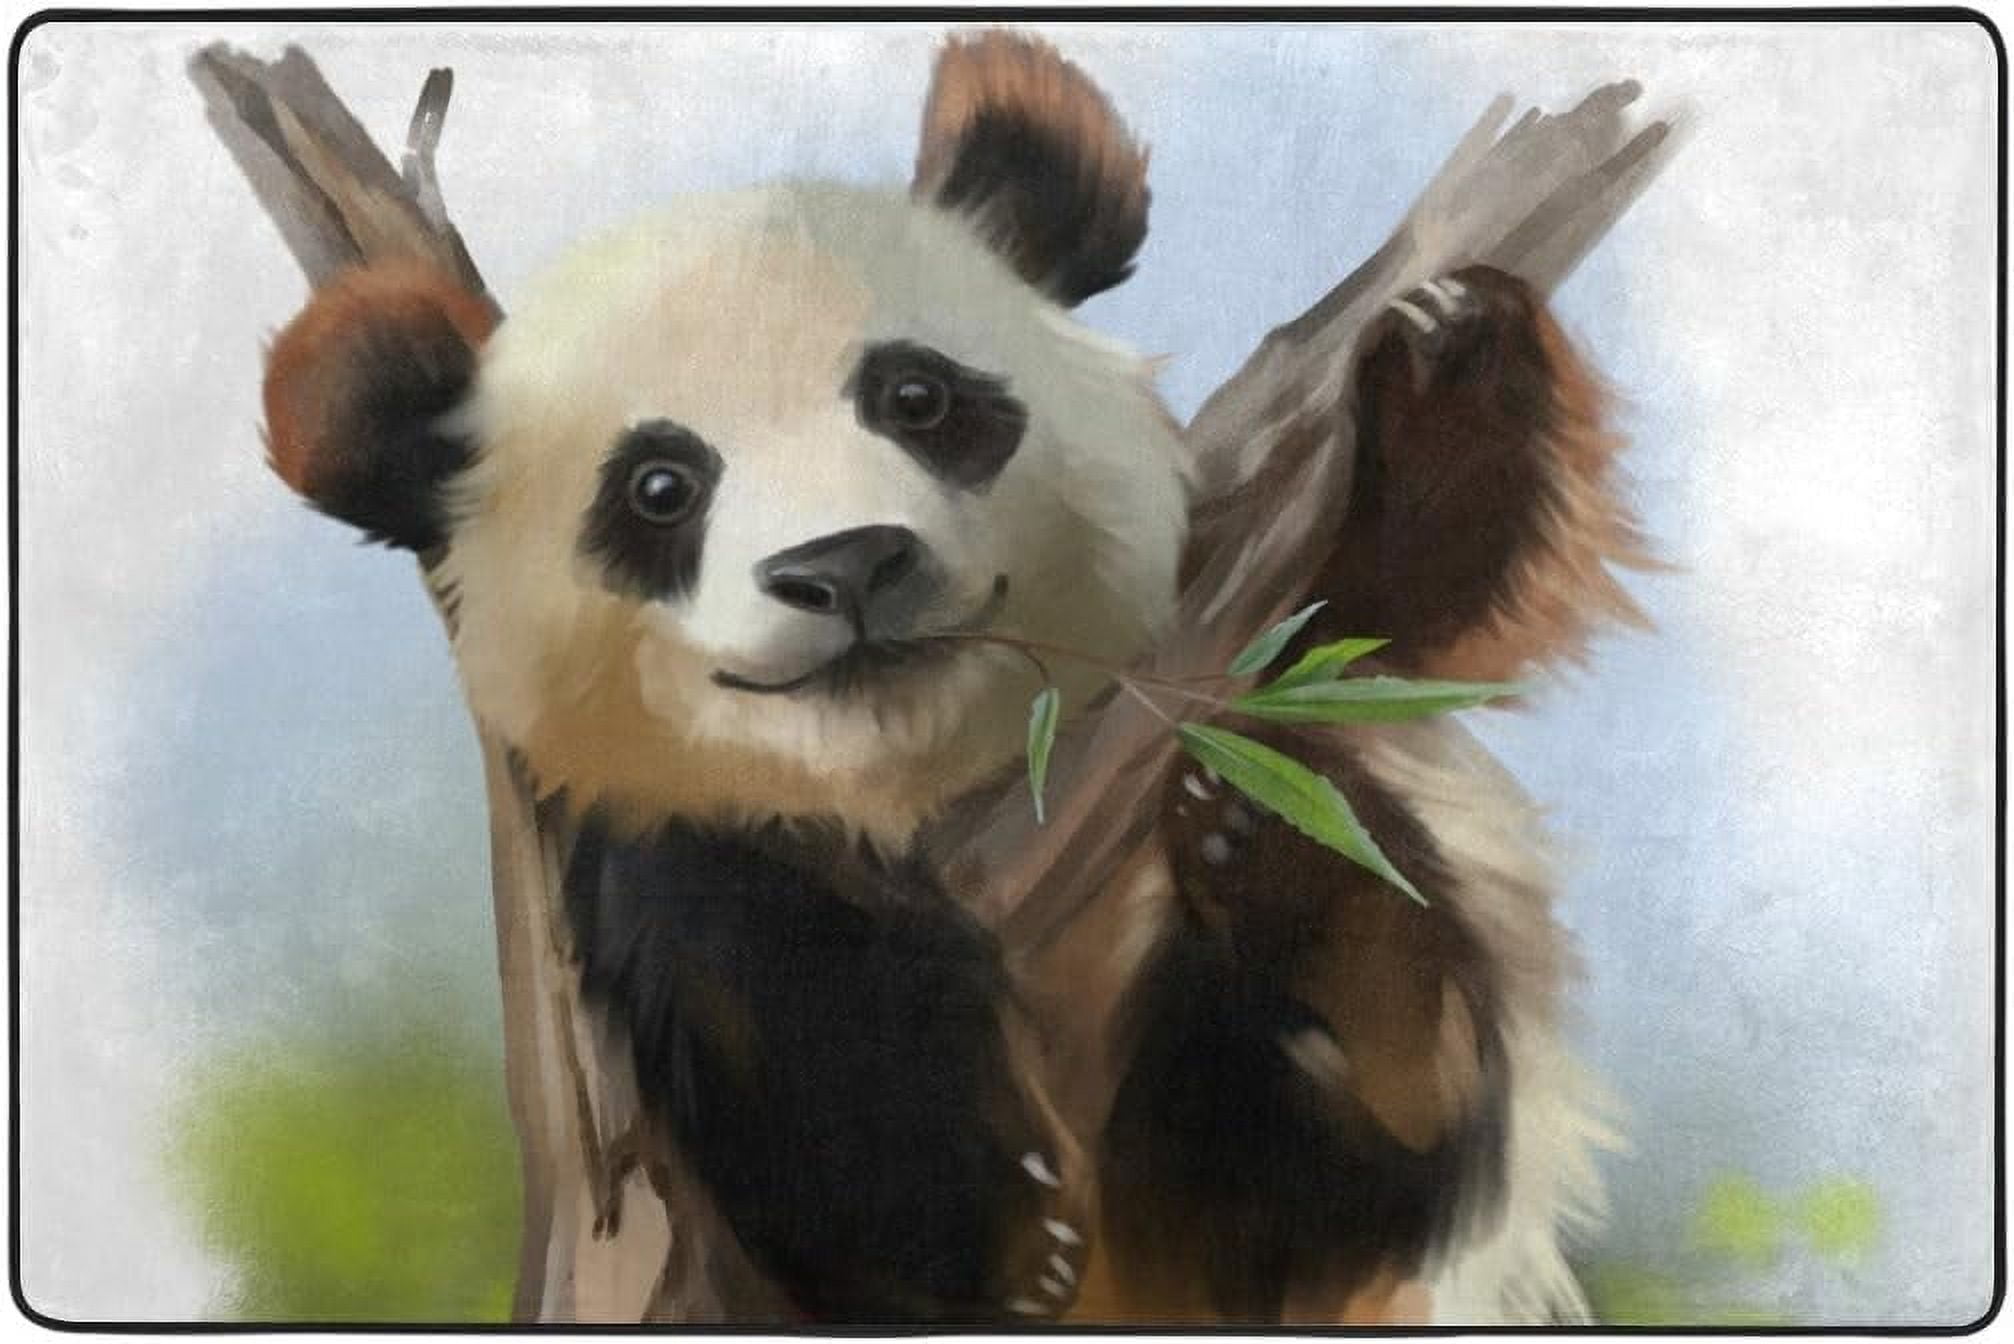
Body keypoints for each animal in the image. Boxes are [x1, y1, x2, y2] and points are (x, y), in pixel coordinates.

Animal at [258, 32, 1646, 1327]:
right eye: (660, 487)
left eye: (914, 395)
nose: (845, 565)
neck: (929, 780)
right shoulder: (665, 855)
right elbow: (769, 990)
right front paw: (999, 1225)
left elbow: (1380, 618)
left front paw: (1446, 371)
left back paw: (1318, 919)